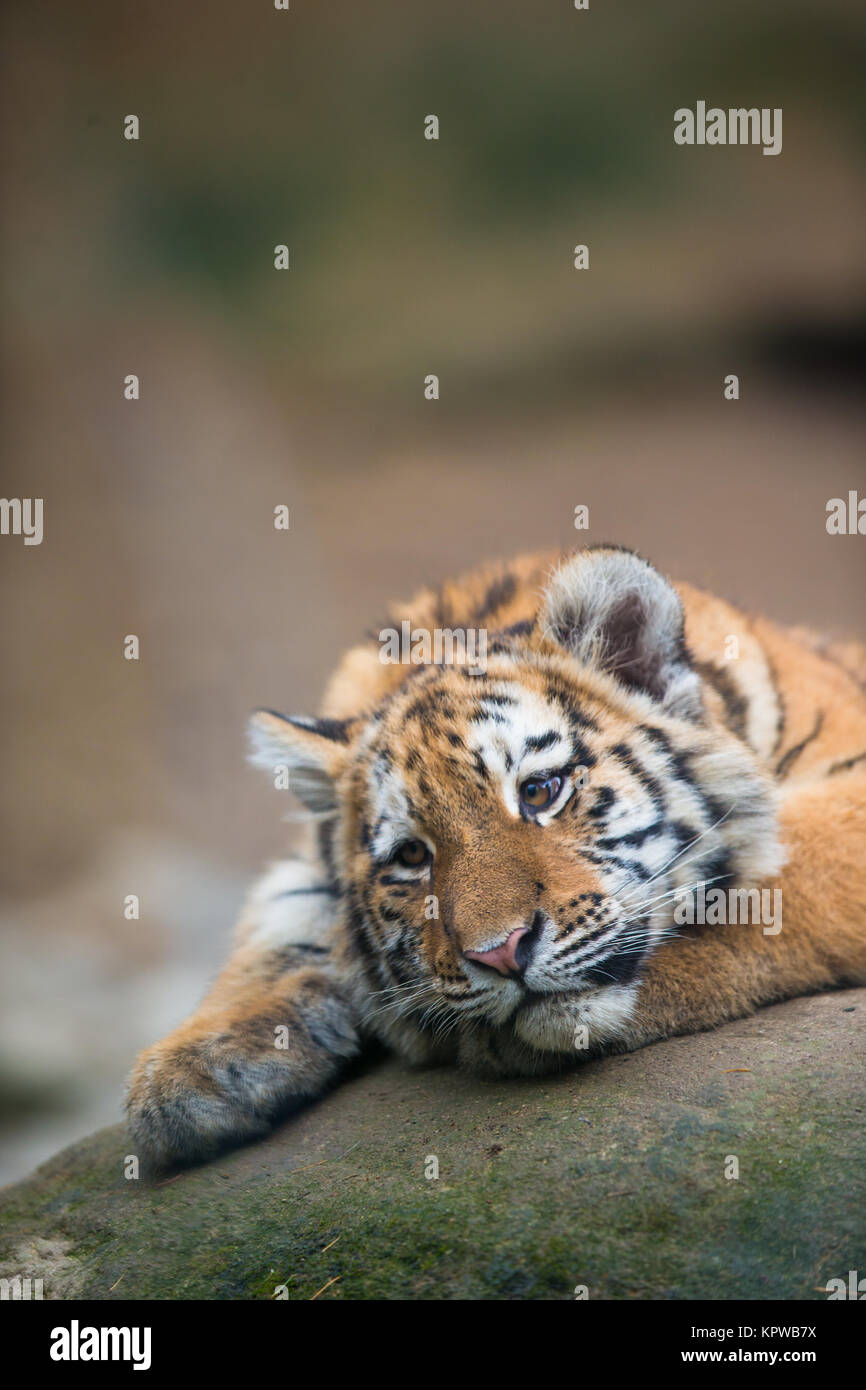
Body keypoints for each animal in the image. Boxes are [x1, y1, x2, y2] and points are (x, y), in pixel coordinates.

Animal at [126, 545, 866, 1169]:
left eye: (540, 791)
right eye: (412, 855)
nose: (502, 954)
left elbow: (759, 896)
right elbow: (276, 925)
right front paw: (192, 1071)